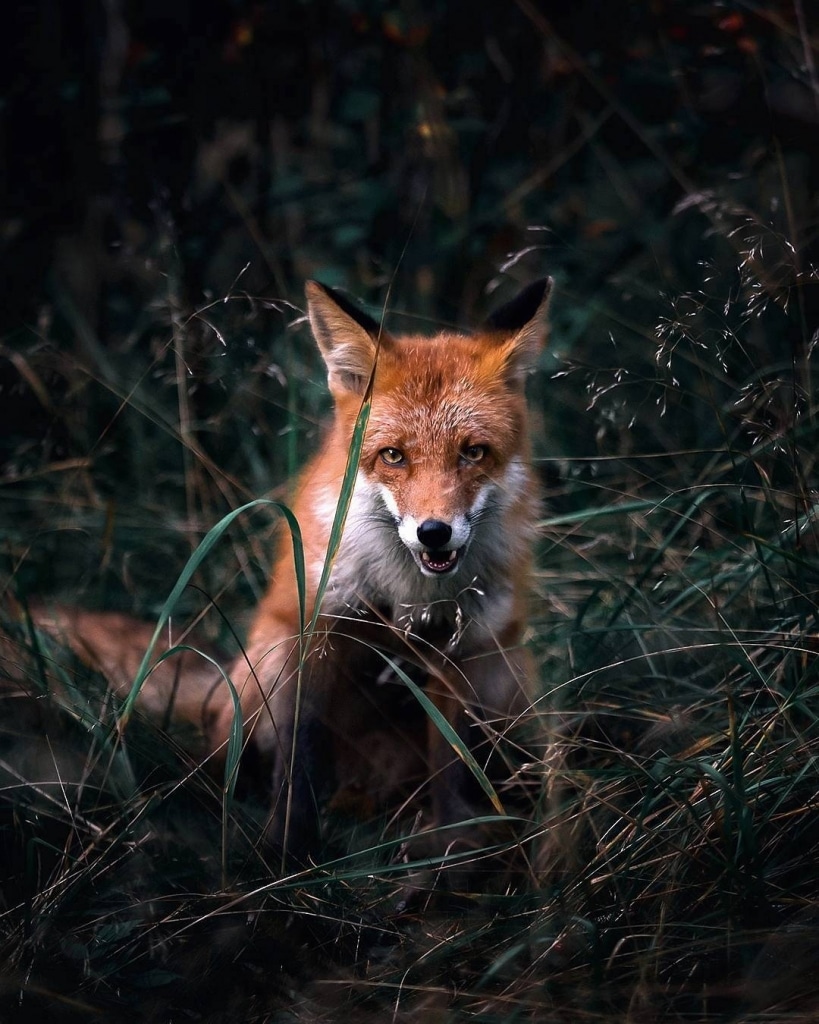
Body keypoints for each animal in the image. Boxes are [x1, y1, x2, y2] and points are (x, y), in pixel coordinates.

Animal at [210, 276, 553, 857]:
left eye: (473, 453)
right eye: (393, 456)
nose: (434, 531)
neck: (410, 590)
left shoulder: (462, 650)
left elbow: (454, 764)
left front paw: (455, 850)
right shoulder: (317, 628)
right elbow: (299, 759)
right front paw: (289, 847)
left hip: (504, 674)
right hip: (266, 661)